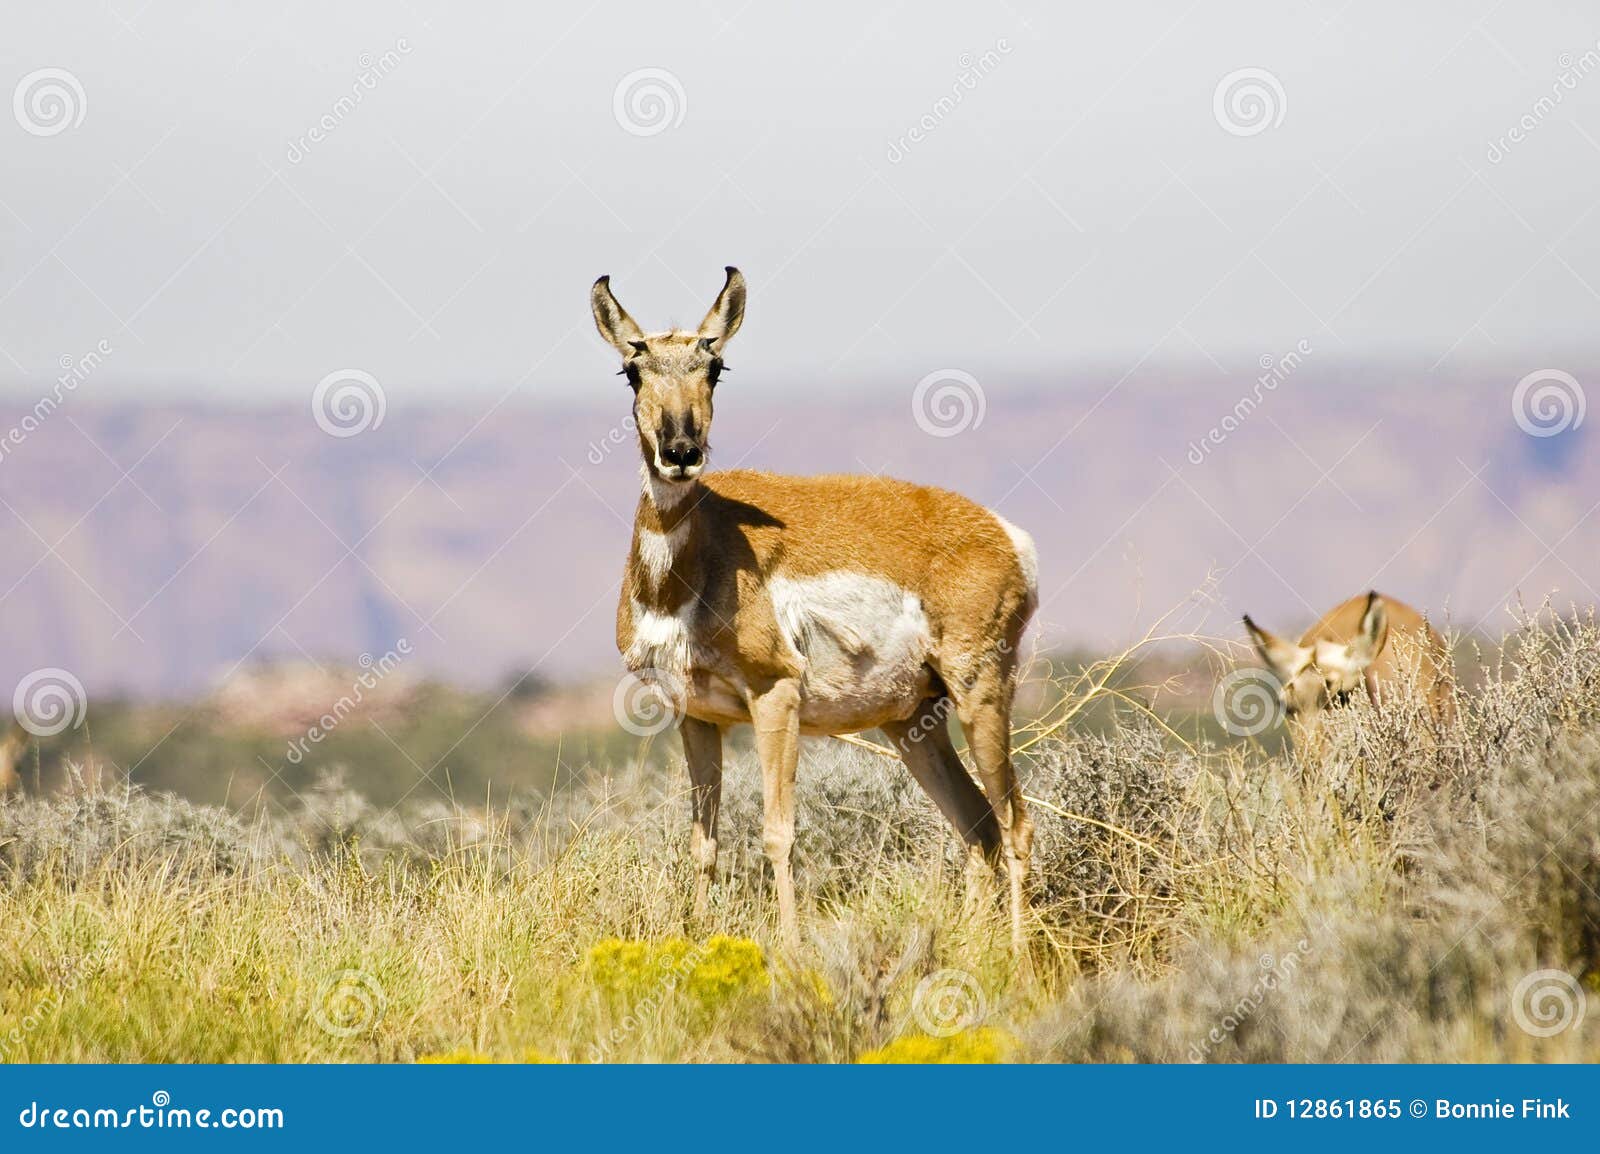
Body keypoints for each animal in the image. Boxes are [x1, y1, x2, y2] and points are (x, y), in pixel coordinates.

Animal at [592, 267, 1038, 947]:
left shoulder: (775, 696)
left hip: (981, 692)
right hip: (913, 722)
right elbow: (704, 845)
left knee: (1015, 825)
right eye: (632, 370)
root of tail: (1001, 532)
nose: (682, 451)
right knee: (979, 826)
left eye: (715, 366)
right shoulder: (695, 716)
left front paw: (792, 949)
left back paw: (1017, 955)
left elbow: (778, 834)